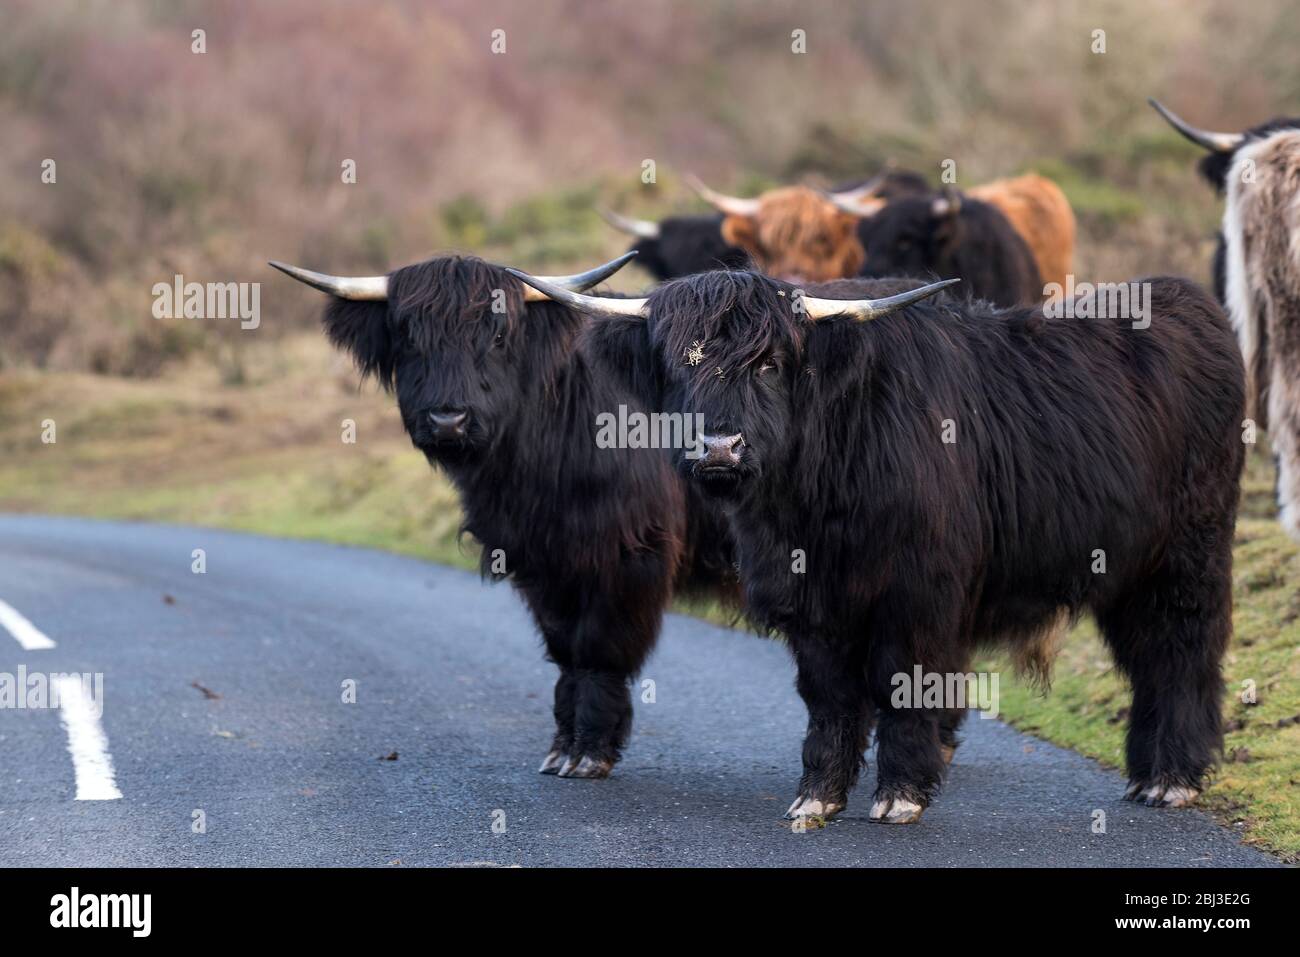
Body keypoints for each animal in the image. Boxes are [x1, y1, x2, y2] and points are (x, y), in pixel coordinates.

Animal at [270, 253, 738, 779]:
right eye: (408, 335)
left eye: (496, 337)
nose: (447, 420)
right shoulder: (542, 561)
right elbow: (563, 649)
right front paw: (561, 749)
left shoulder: (629, 554)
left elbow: (600, 648)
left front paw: (590, 753)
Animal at [512, 267, 1245, 825]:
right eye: (676, 365)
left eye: (769, 363)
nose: (718, 447)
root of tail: (1188, 301)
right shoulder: (808, 601)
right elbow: (829, 695)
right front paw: (817, 797)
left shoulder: (918, 594)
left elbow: (905, 682)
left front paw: (900, 796)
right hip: (1129, 571)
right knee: (1150, 659)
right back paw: (1148, 773)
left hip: (1189, 556)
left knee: (1182, 652)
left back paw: (1172, 780)